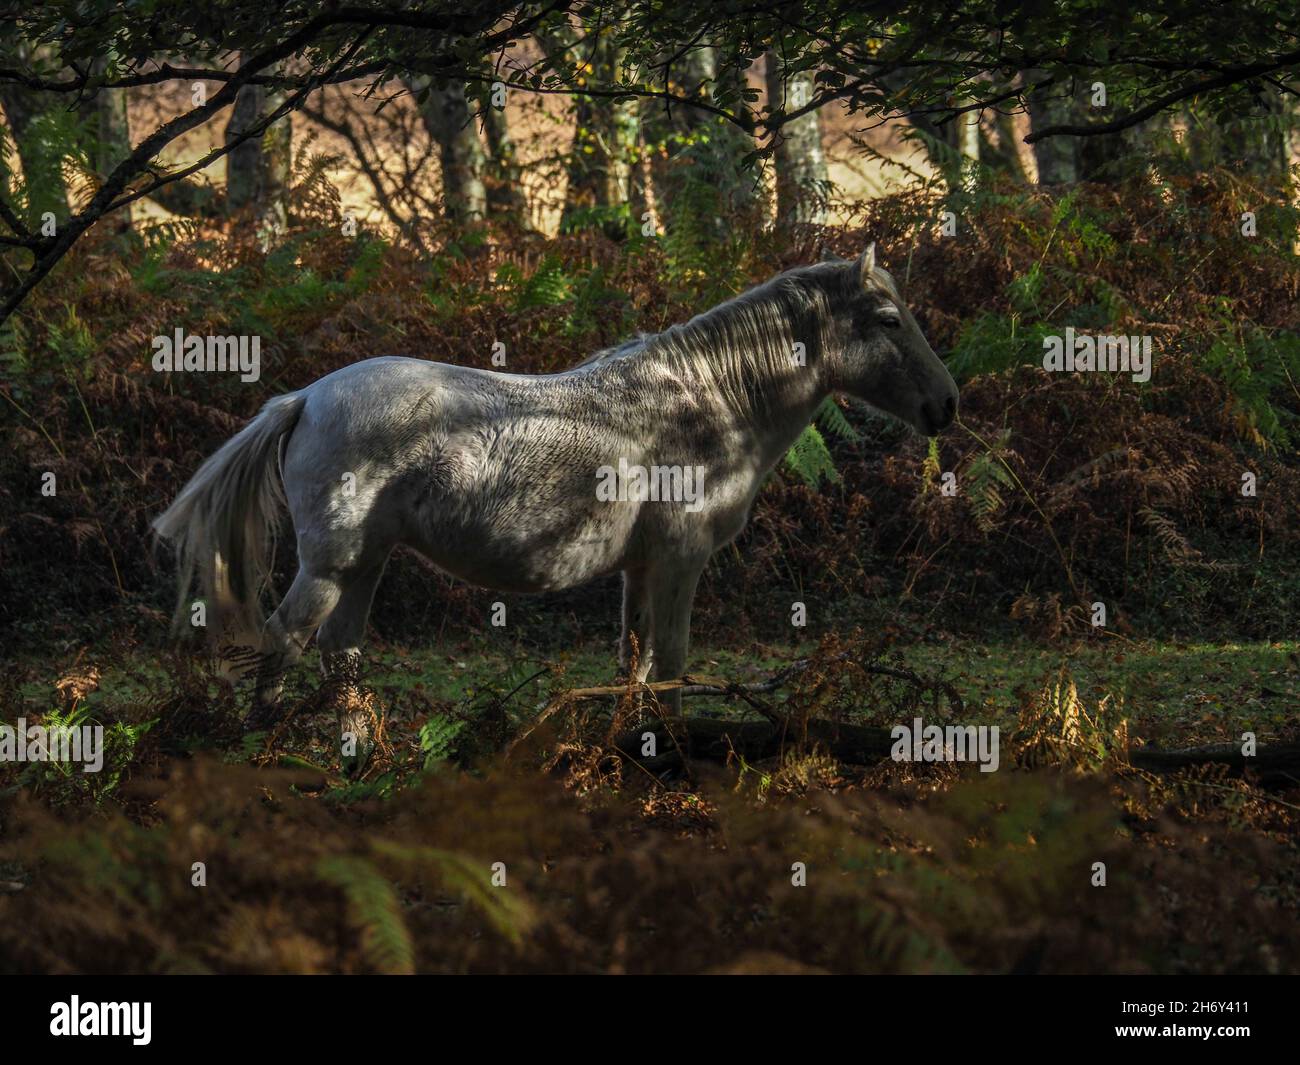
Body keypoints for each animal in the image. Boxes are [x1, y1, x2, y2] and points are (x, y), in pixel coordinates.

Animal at [154, 244, 959, 771]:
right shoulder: (680, 561)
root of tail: (307, 397)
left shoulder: (643, 568)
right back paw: (265, 742)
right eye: (887, 318)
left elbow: (635, 660)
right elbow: (671, 660)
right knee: (286, 637)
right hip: (331, 563)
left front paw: (630, 747)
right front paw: (671, 754)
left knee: (339, 648)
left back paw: (361, 748)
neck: (706, 403)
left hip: (366, 562)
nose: (945, 405)